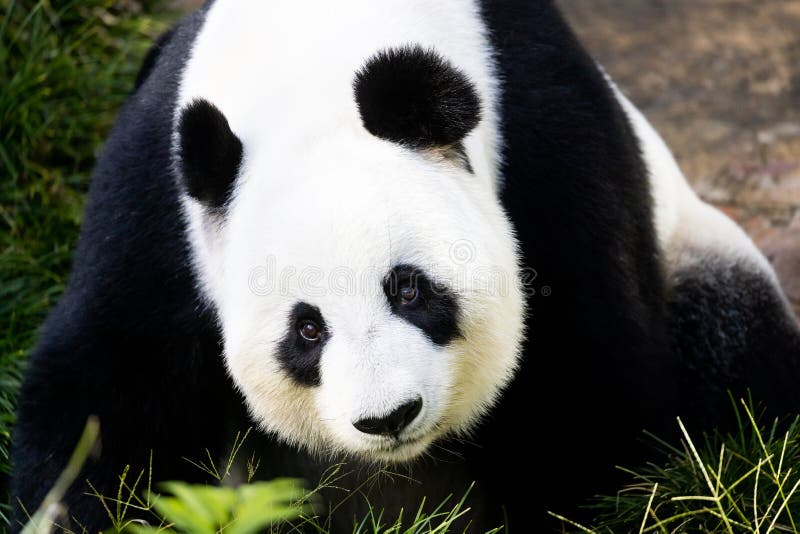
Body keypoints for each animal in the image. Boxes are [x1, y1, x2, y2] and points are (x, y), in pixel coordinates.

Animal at [11, 0, 800, 531]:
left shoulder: (548, 147)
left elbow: (596, 391)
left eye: (411, 290)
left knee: (735, 368)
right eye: (306, 330)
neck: (312, 68)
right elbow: (102, 384)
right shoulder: (159, 200)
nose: (388, 417)